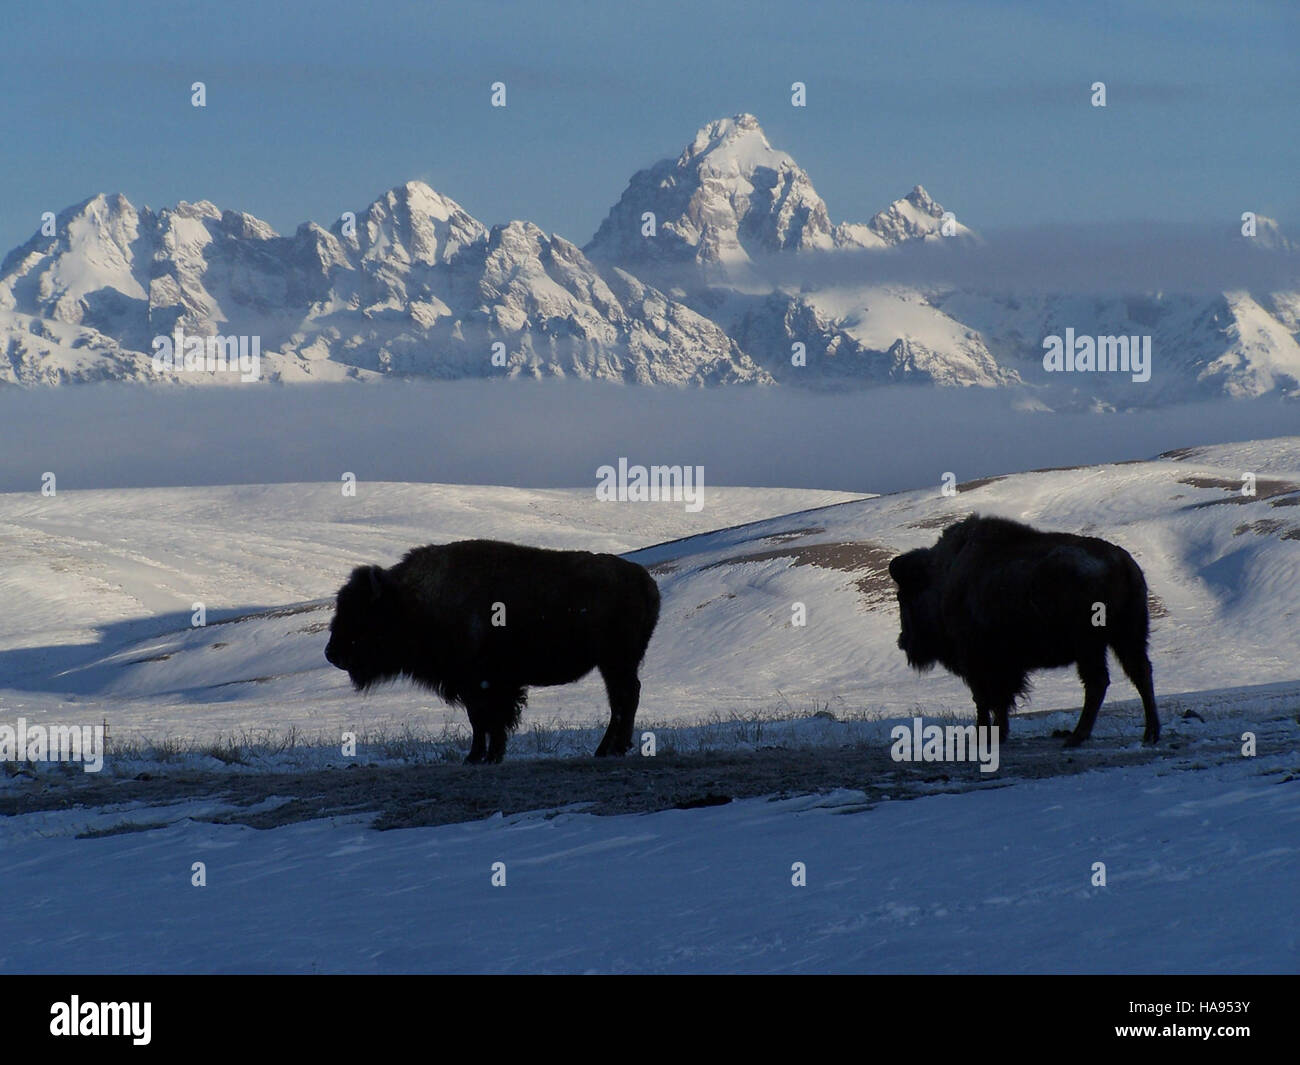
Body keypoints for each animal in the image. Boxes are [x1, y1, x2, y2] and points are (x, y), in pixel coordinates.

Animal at [325, 539, 660, 764]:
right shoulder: (483, 685)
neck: (411, 601)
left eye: (362, 613)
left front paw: (480, 757)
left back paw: (611, 750)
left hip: (616, 662)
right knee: (622, 699)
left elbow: (486, 719)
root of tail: (643, 579)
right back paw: (608, 750)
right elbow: (484, 721)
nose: (331, 653)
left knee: (624, 697)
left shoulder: (482, 683)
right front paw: (484, 756)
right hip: (614, 663)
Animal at [888, 514, 1159, 746]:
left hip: (1090, 646)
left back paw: (1076, 737)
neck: (941, 579)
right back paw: (1149, 734)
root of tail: (1122, 562)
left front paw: (985, 735)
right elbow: (998, 700)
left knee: (1098, 682)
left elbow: (985, 699)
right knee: (1140, 674)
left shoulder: (979, 663)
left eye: (903, 597)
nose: (902, 641)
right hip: (1126, 637)